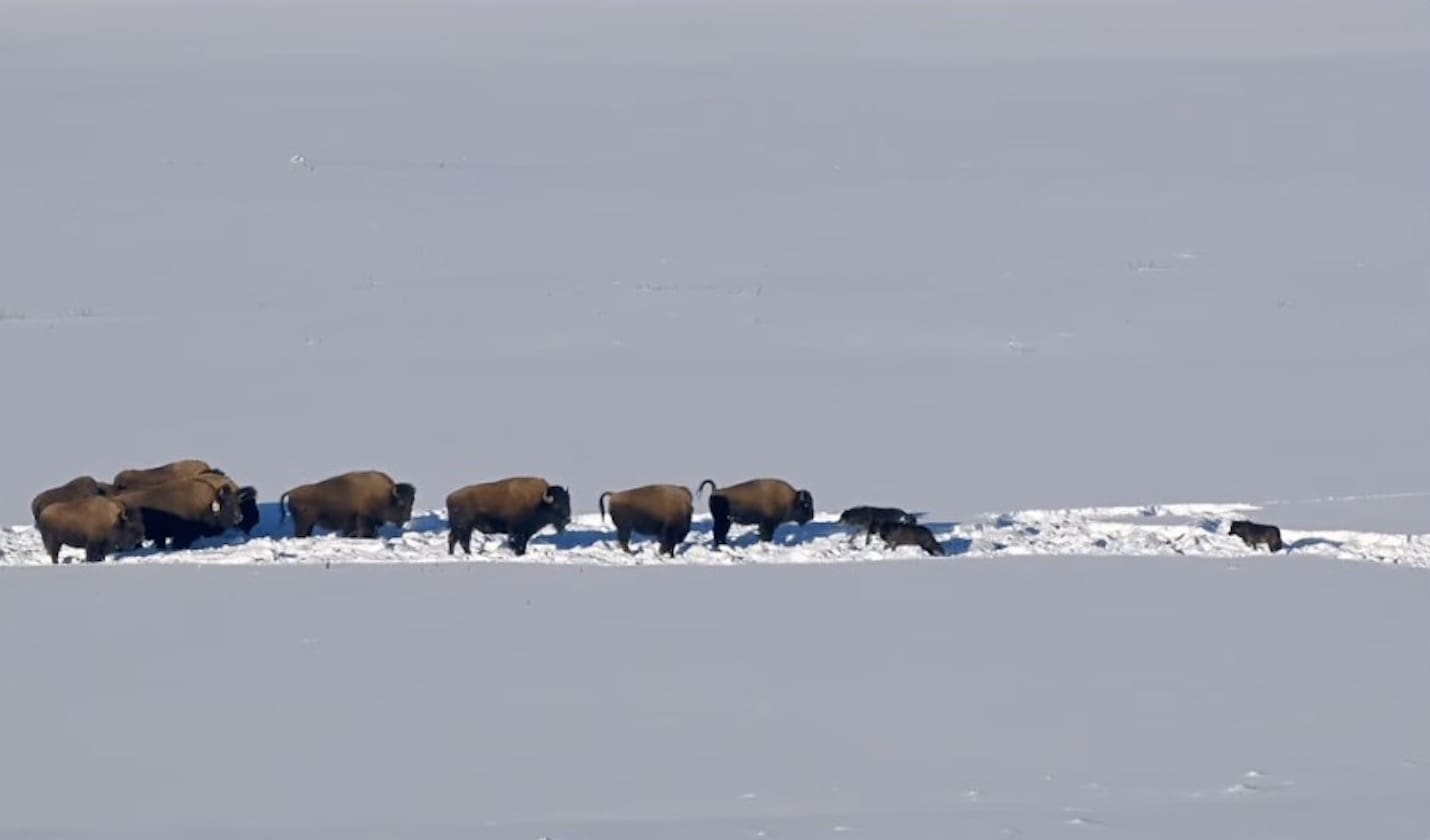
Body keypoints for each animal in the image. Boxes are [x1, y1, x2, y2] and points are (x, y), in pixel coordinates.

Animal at [281, 470, 416, 538]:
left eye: (412, 501)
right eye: (401, 503)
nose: (407, 518)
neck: (385, 496)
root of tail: (292, 492)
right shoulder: (364, 519)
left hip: (308, 524)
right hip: (304, 523)